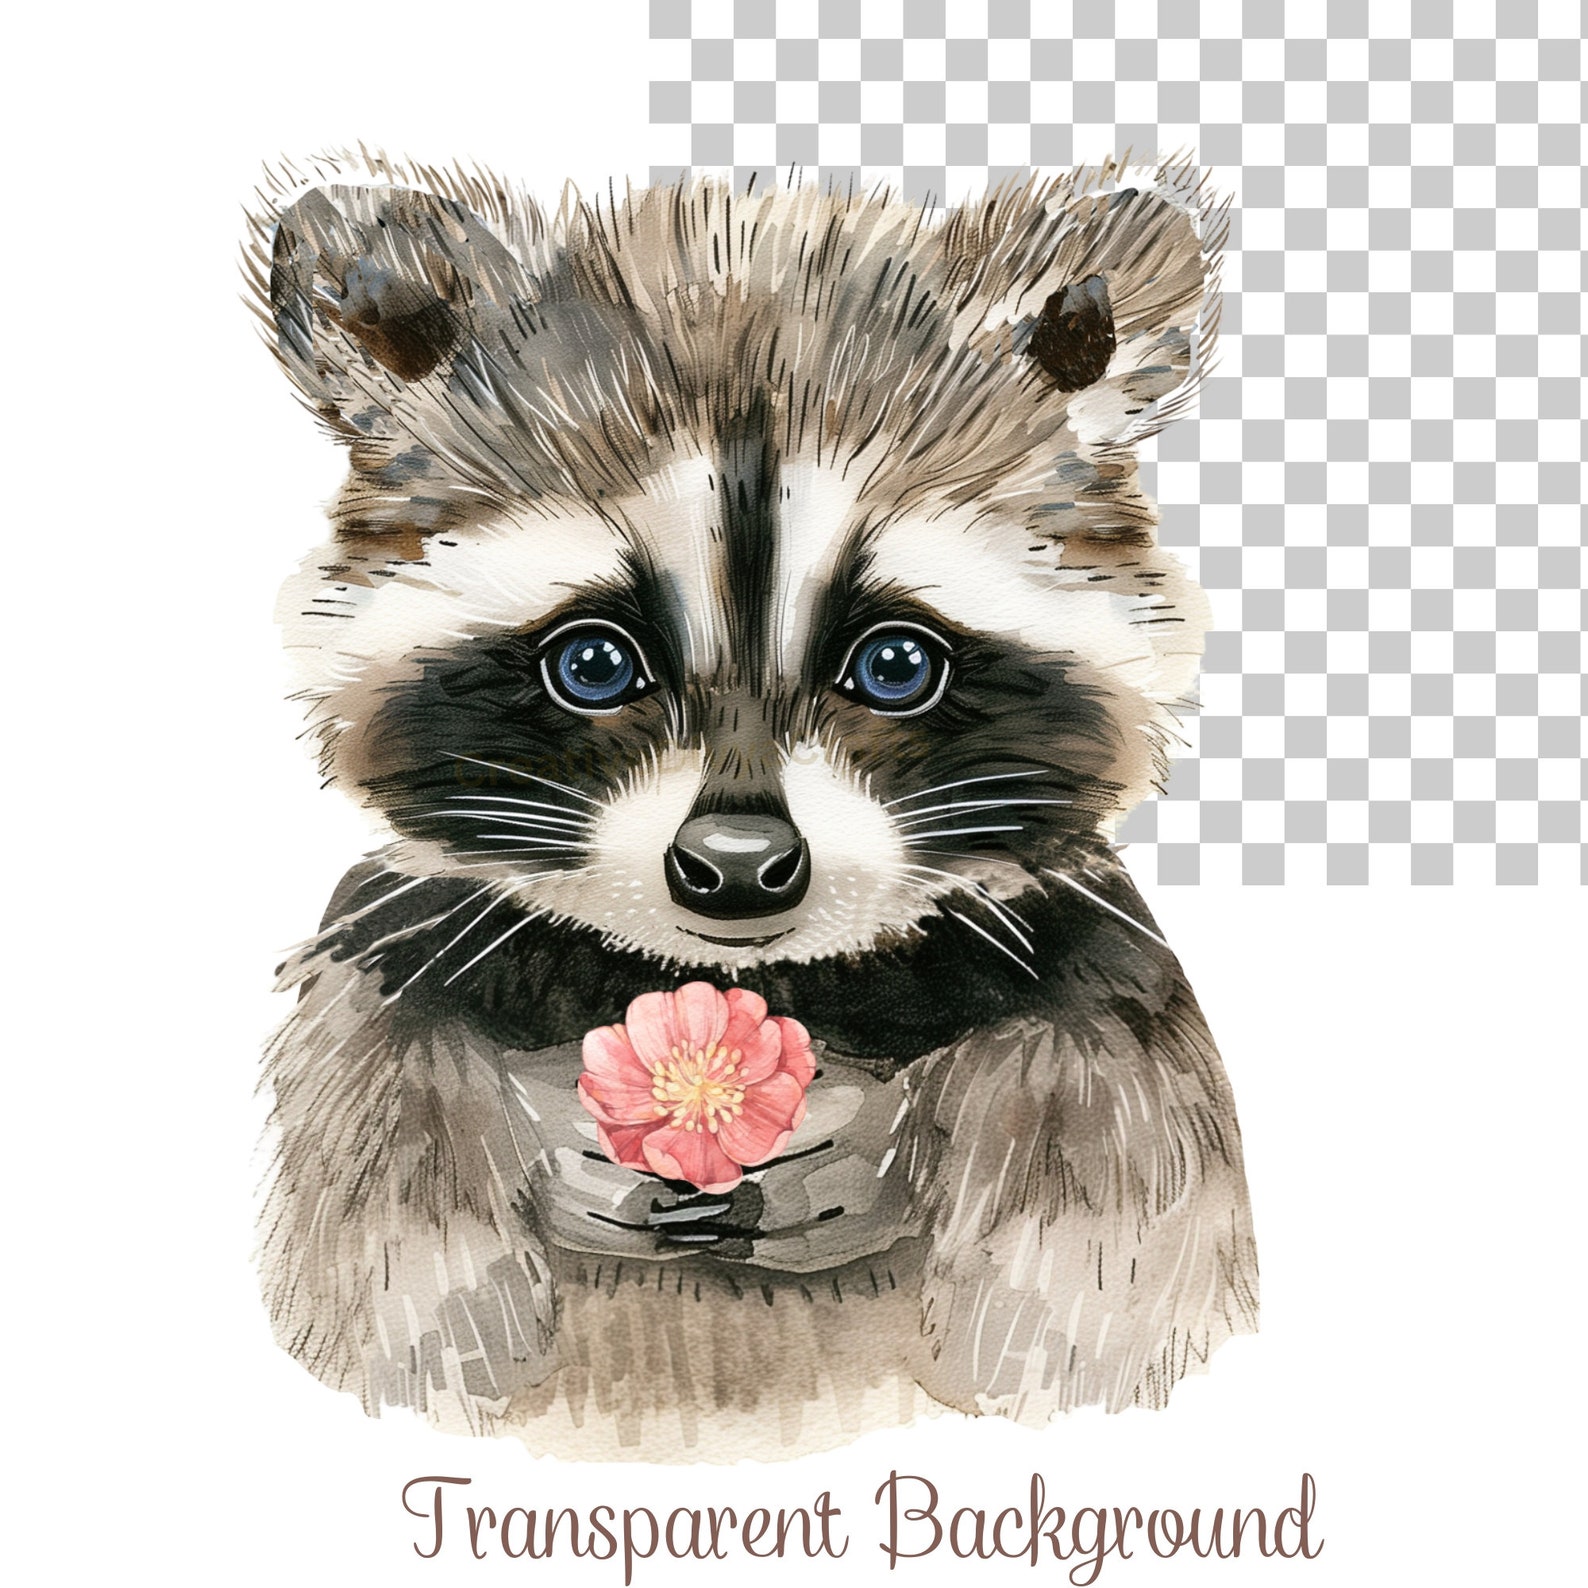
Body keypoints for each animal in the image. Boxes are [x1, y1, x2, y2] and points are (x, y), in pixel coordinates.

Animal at [246, 151, 1257, 1461]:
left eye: (894, 663)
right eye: (592, 663)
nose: (734, 865)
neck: (753, 983)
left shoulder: (1106, 992)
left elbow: (1109, 1175)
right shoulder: (386, 955)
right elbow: (369, 1139)